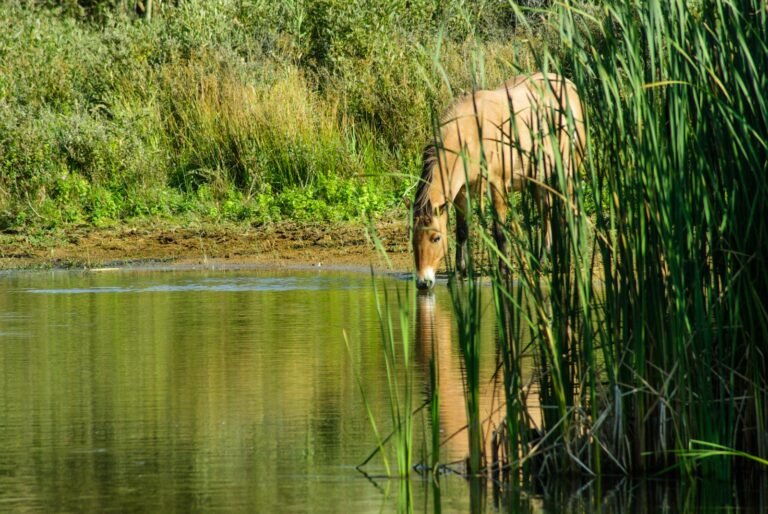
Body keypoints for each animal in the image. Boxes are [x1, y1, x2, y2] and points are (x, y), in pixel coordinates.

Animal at [411, 72, 586, 290]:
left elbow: (499, 231)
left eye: (436, 238)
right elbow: (462, 231)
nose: (423, 282)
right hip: (538, 181)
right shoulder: (462, 191)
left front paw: (503, 270)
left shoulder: (497, 187)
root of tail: (570, 86)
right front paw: (460, 272)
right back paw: (543, 259)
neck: (471, 133)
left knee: (571, 208)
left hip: (568, 172)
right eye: (413, 239)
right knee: (546, 213)